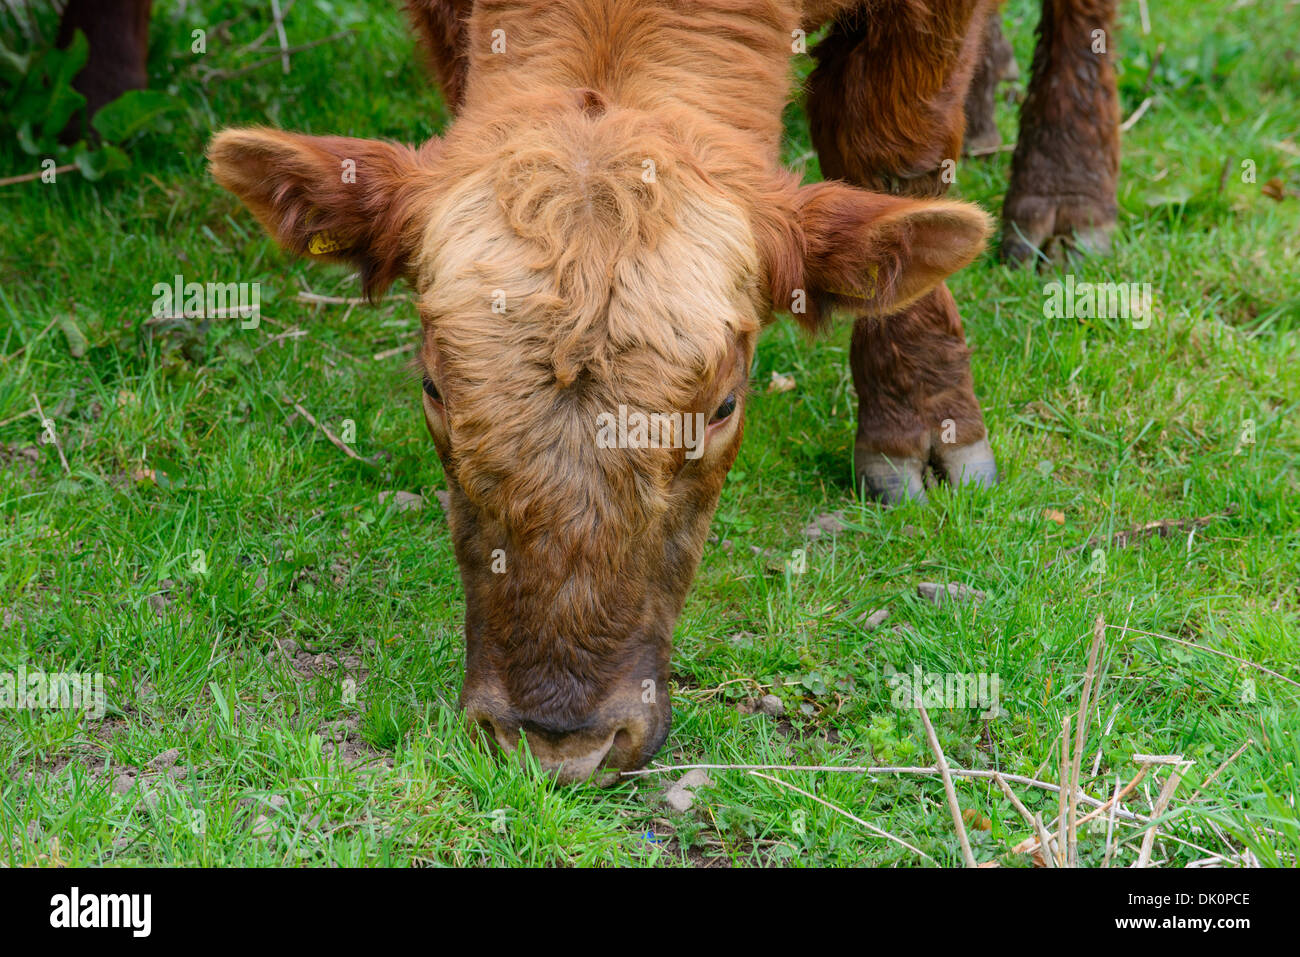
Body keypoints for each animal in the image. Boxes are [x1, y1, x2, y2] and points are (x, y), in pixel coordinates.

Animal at [205, 0, 1119, 782]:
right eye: (433, 387)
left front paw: (923, 414)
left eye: (722, 407)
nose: (559, 744)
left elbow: (892, 158)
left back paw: (1069, 195)